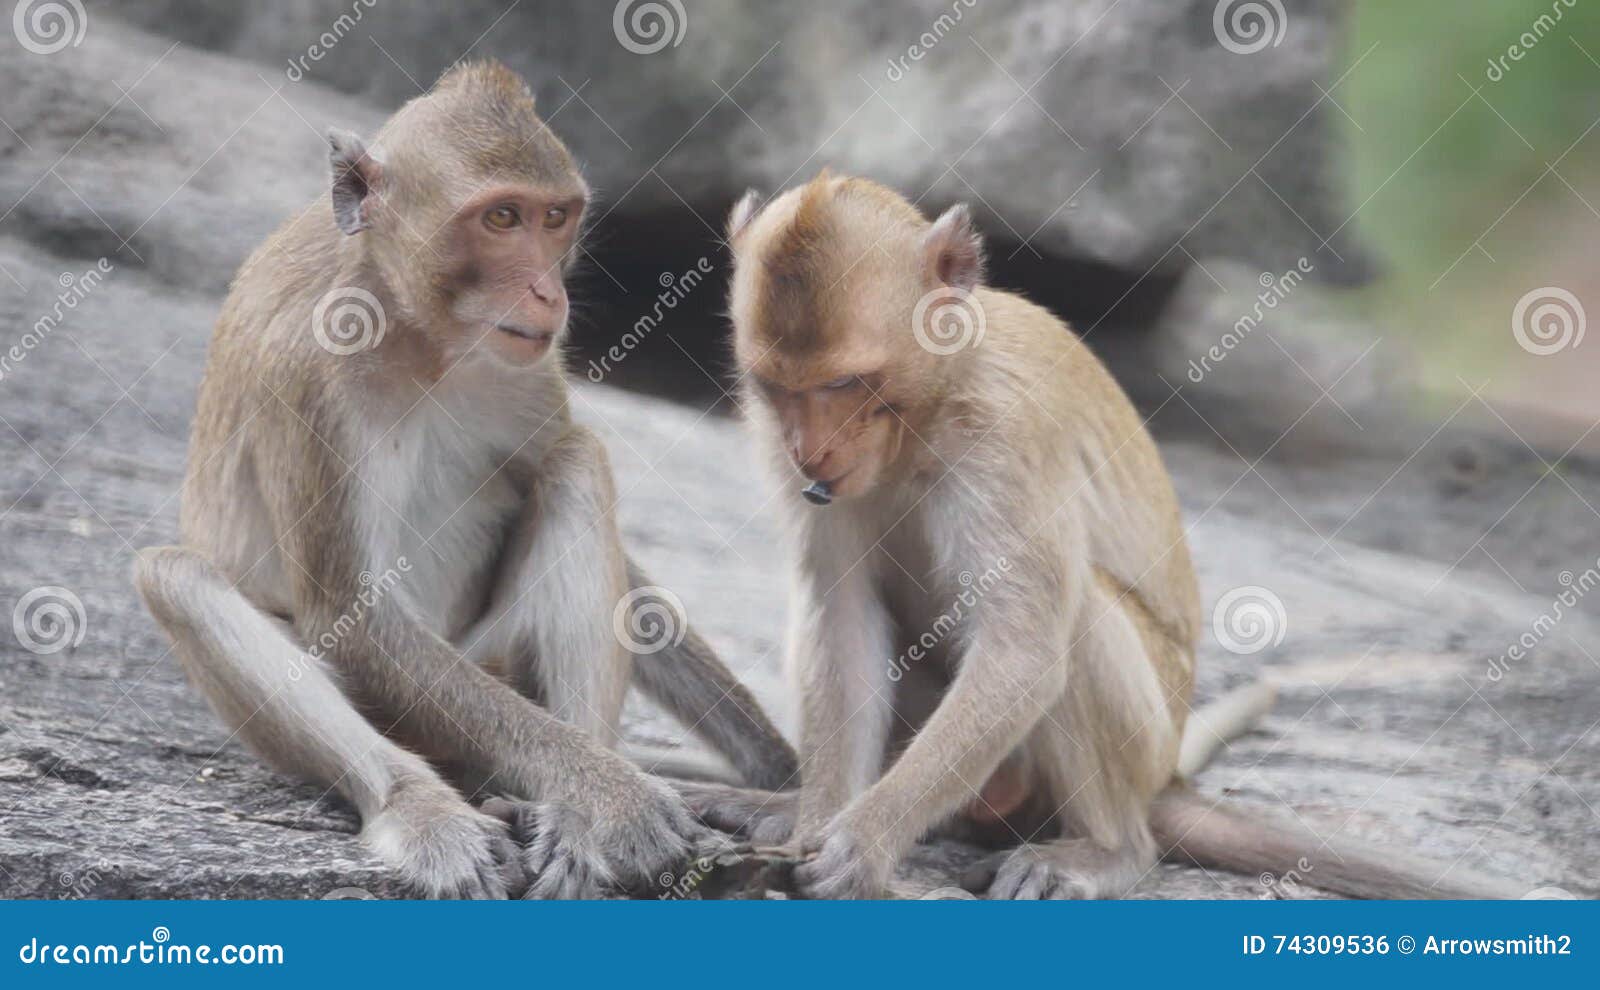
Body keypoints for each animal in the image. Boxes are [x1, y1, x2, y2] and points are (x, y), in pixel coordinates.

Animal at [132, 60, 797, 900]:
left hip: (495, 659)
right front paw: (619, 797)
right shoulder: (307, 371)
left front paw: (780, 772)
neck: (416, 333)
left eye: (555, 218)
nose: (548, 292)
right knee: (176, 576)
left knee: (576, 463)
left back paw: (574, 818)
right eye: (502, 218)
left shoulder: (531, 366)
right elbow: (351, 614)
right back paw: (422, 806)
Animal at [682, 171, 1525, 900]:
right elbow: (844, 618)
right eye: (778, 389)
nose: (813, 455)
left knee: (1081, 615)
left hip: (1143, 737)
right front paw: (815, 821)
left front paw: (864, 843)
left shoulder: (1009, 439)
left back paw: (1109, 851)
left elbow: (1025, 649)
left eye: (846, 384)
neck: (929, 412)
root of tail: (1165, 777)